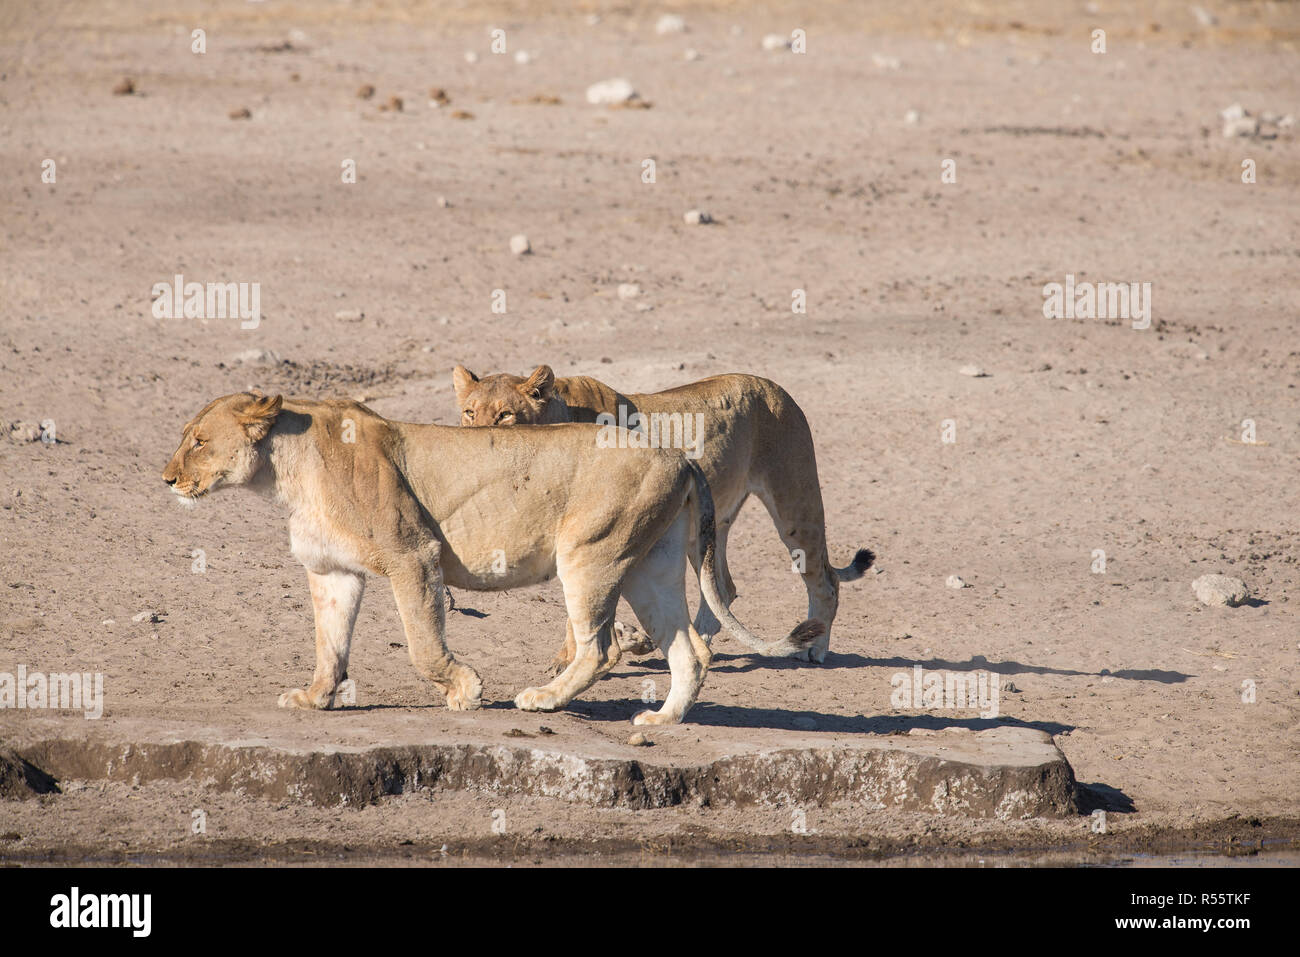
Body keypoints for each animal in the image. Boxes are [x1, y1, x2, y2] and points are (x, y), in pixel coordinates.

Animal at [162, 392, 821, 725]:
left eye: (198, 440)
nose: (166, 478)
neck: (286, 472)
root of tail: (677, 456)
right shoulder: (332, 571)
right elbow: (331, 643)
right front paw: (315, 698)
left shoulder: (413, 552)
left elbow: (423, 643)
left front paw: (466, 690)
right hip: (647, 567)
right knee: (689, 650)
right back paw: (662, 720)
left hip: (590, 555)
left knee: (600, 648)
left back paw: (544, 699)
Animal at [453, 365, 874, 667]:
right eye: (469, 413)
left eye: (505, 415)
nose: (475, 442)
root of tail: (775, 387)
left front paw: (568, 660)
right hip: (707, 525)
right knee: (723, 586)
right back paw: (699, 646)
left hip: (794, 503)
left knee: (825, 581)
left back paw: (814, 649)